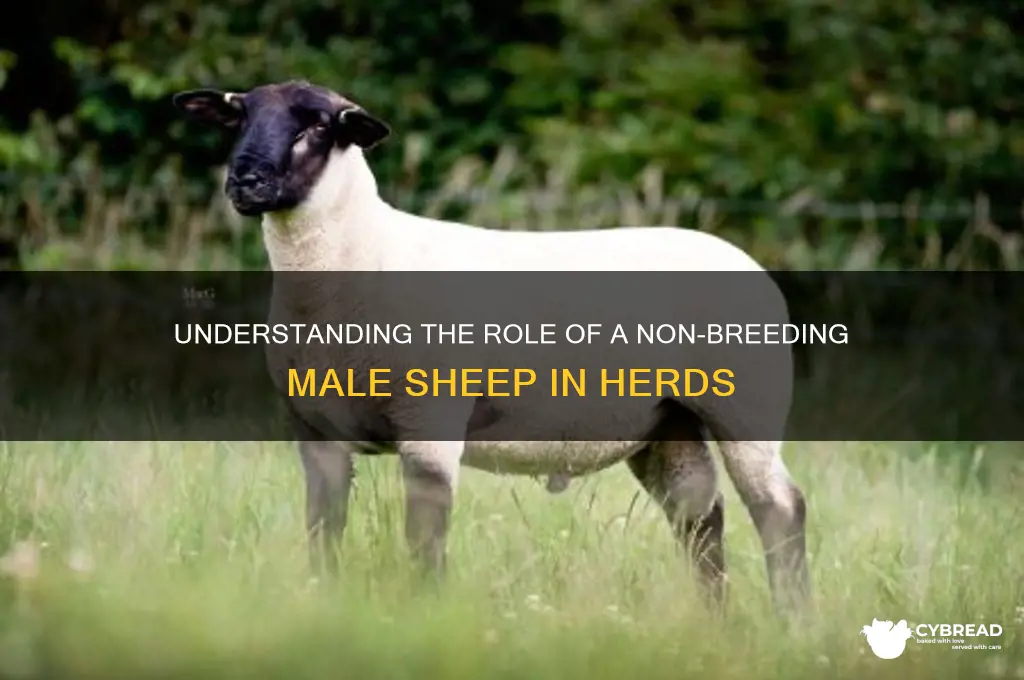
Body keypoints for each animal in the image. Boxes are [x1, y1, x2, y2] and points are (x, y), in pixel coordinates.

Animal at [172, 80, 810, 614]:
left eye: (318, 127)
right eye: (239, 117)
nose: (245, 182)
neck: (360, 256)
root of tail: (747, 263)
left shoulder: (429, 424)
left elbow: (424, 541)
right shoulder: (315, 432)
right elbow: (322, 534)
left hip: (744, 405)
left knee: (781, 509)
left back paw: (791, 622)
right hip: (667, 425)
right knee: (701, 521)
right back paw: (715, 623)